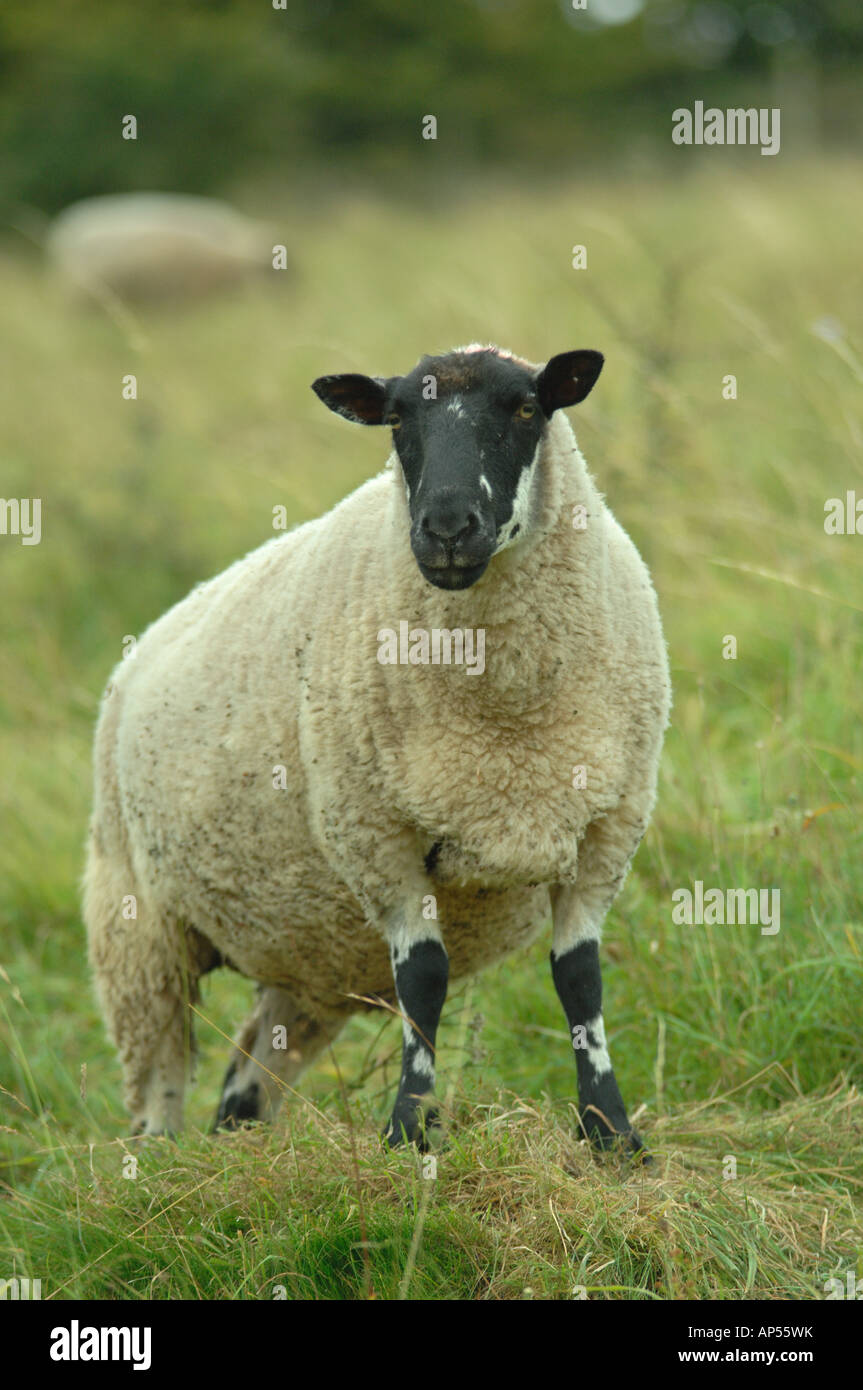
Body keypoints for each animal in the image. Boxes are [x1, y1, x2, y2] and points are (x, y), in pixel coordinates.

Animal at [83, 343, 671, 1156]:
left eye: (527, 407)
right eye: (395, 418)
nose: (447, 526)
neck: (508, 716)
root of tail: (138, 655)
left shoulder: (603, 832)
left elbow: (578, 978)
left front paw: (610, 1132)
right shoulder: (376, 834)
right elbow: (424, 977)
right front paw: (410, 1130)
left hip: (306, 953)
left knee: (250, 1068)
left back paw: (240, 1145)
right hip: (135, 921)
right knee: (159, 1073)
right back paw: (159, 1163)